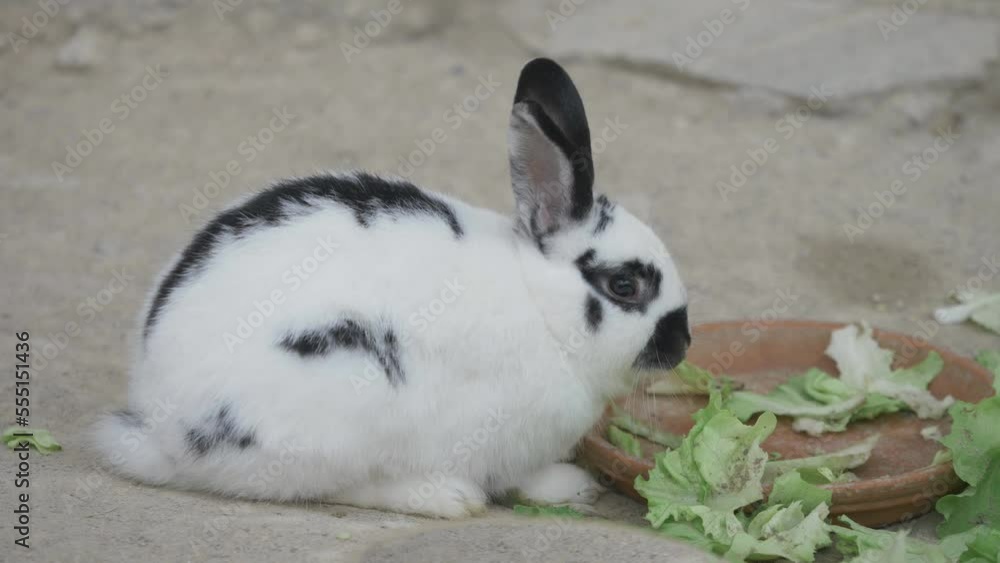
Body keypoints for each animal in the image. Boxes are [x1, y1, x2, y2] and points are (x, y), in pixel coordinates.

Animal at [95, 58, 690, 518]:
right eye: (624, 285)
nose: (682, 344)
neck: (543, 309)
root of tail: (161, 430)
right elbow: (516, 475)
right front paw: (566, 486)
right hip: (343, 395)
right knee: (339, 486)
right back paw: (445, 497)